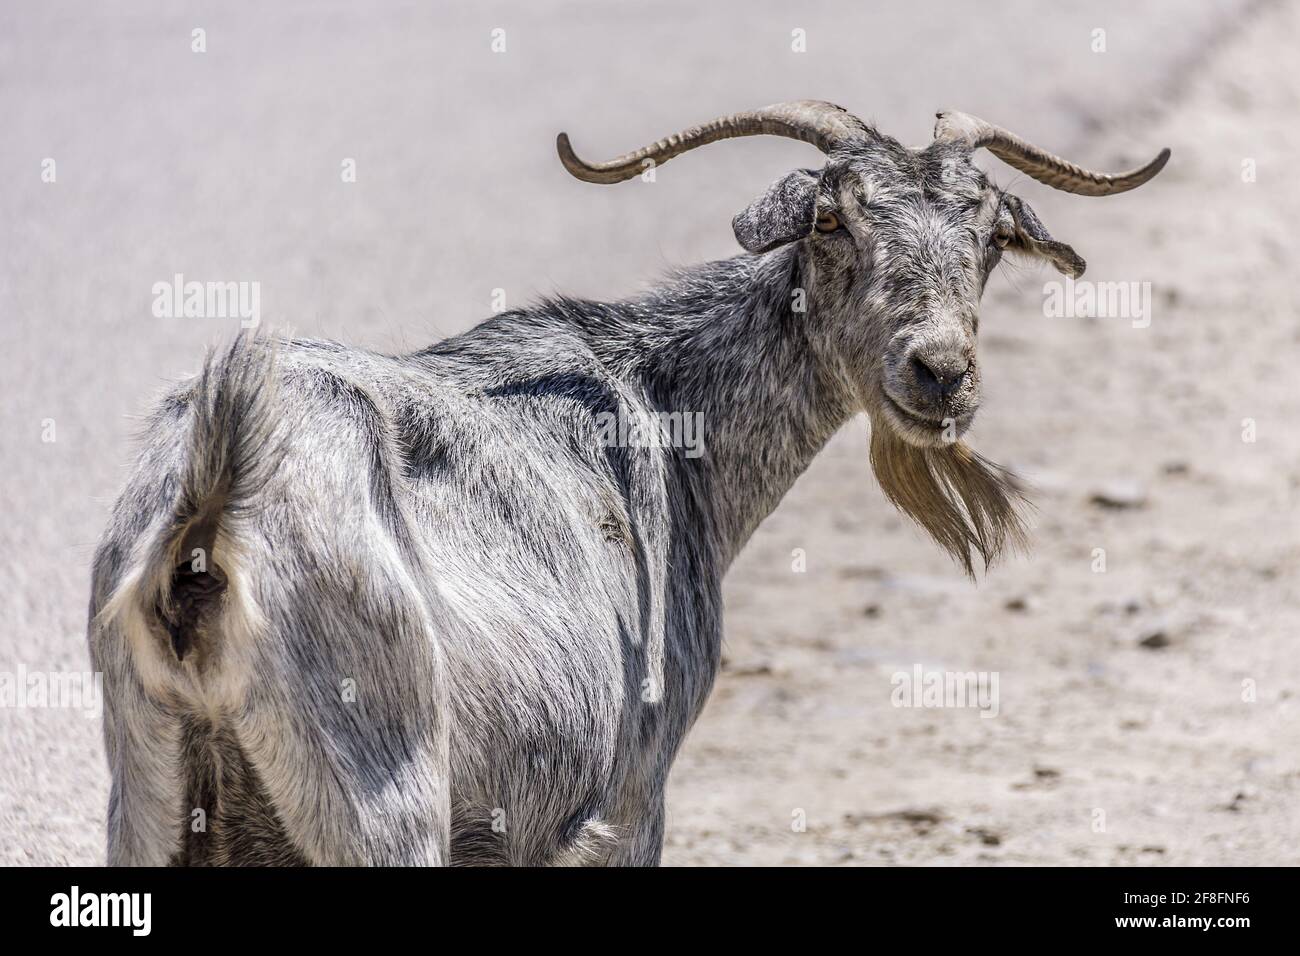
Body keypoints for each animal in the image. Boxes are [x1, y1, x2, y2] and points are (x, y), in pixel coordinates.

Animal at [88, 101, 1168, 865]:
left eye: (992, 235)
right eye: (831, 218)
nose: (939, 373)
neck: (665, 408)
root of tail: (210, 522)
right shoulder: (627, 797)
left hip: (150, 795)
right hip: (378, 792)